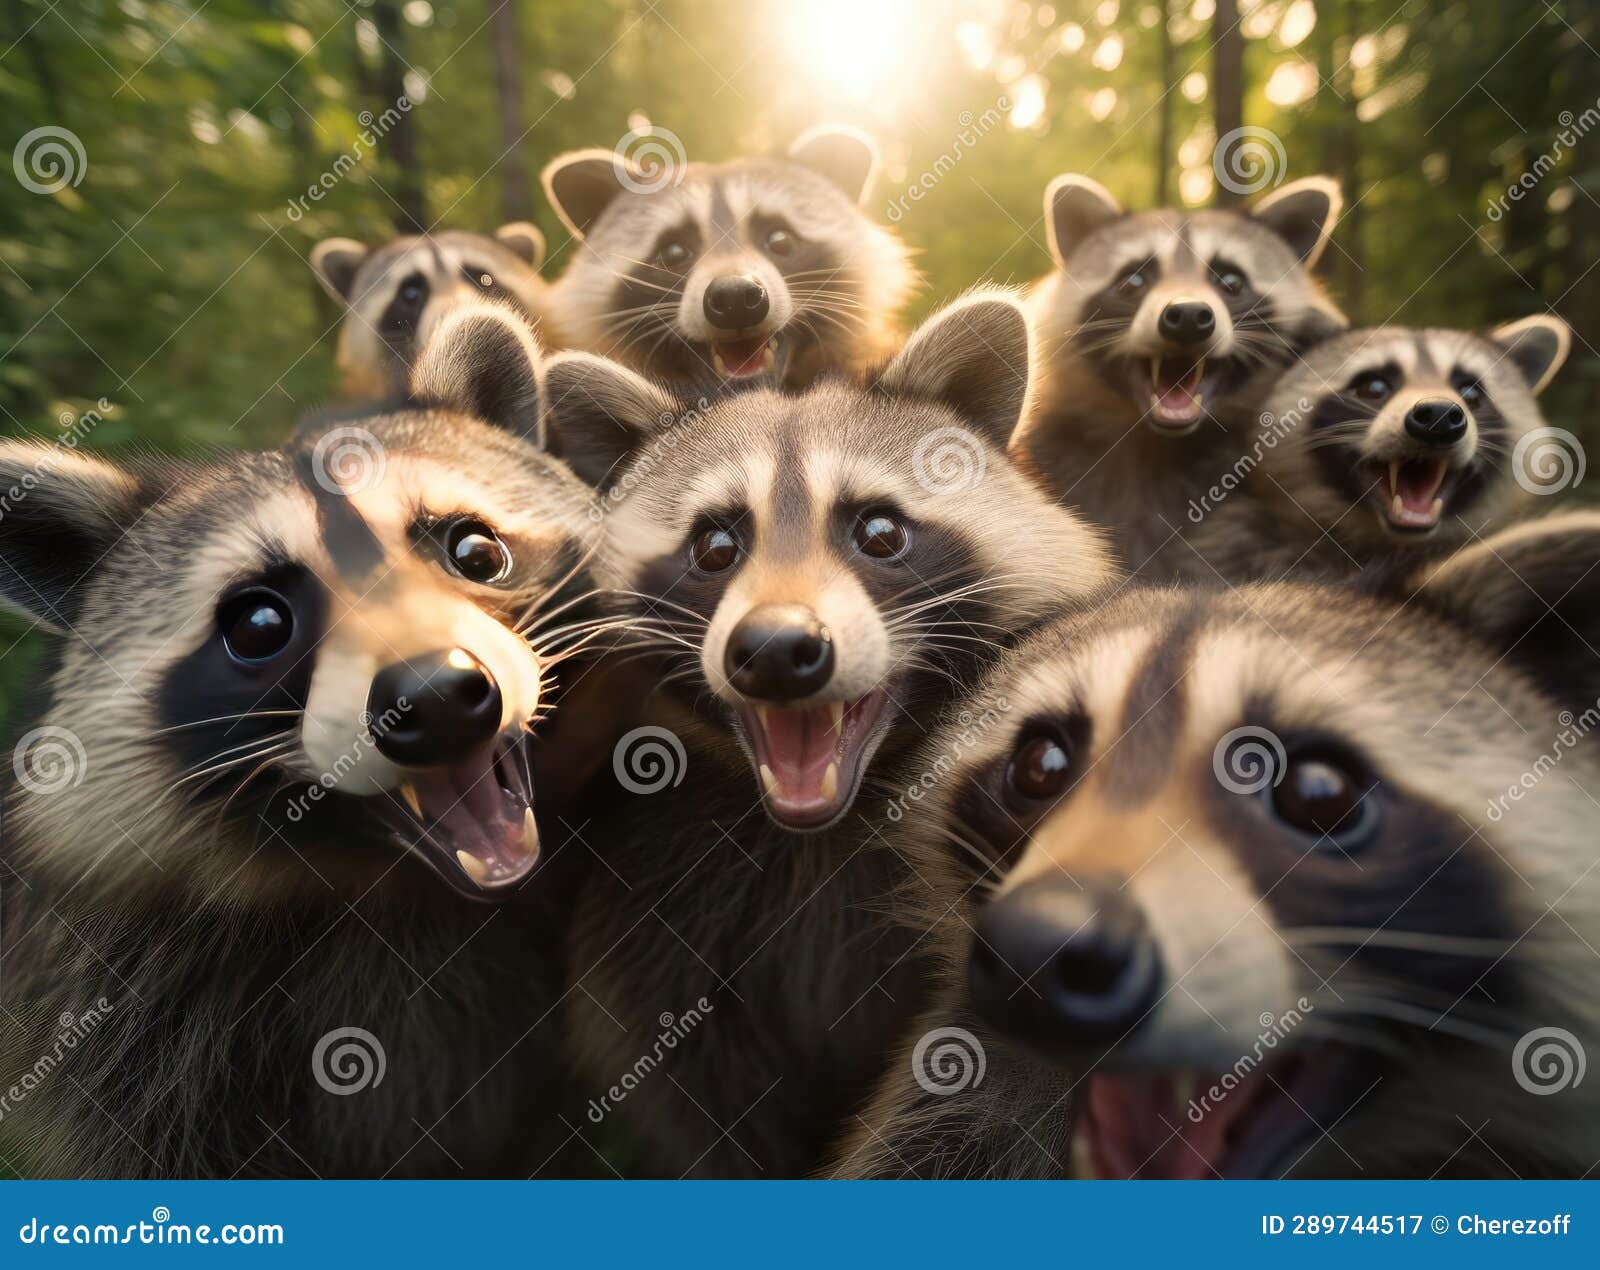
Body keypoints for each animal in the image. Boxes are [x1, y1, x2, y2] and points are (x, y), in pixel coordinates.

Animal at [538, 293, 1118, 1177]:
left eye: (878, 532)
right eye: (716, 544)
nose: (778, 650)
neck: (827, 822)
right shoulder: (662, 911)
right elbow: (713, 1110)